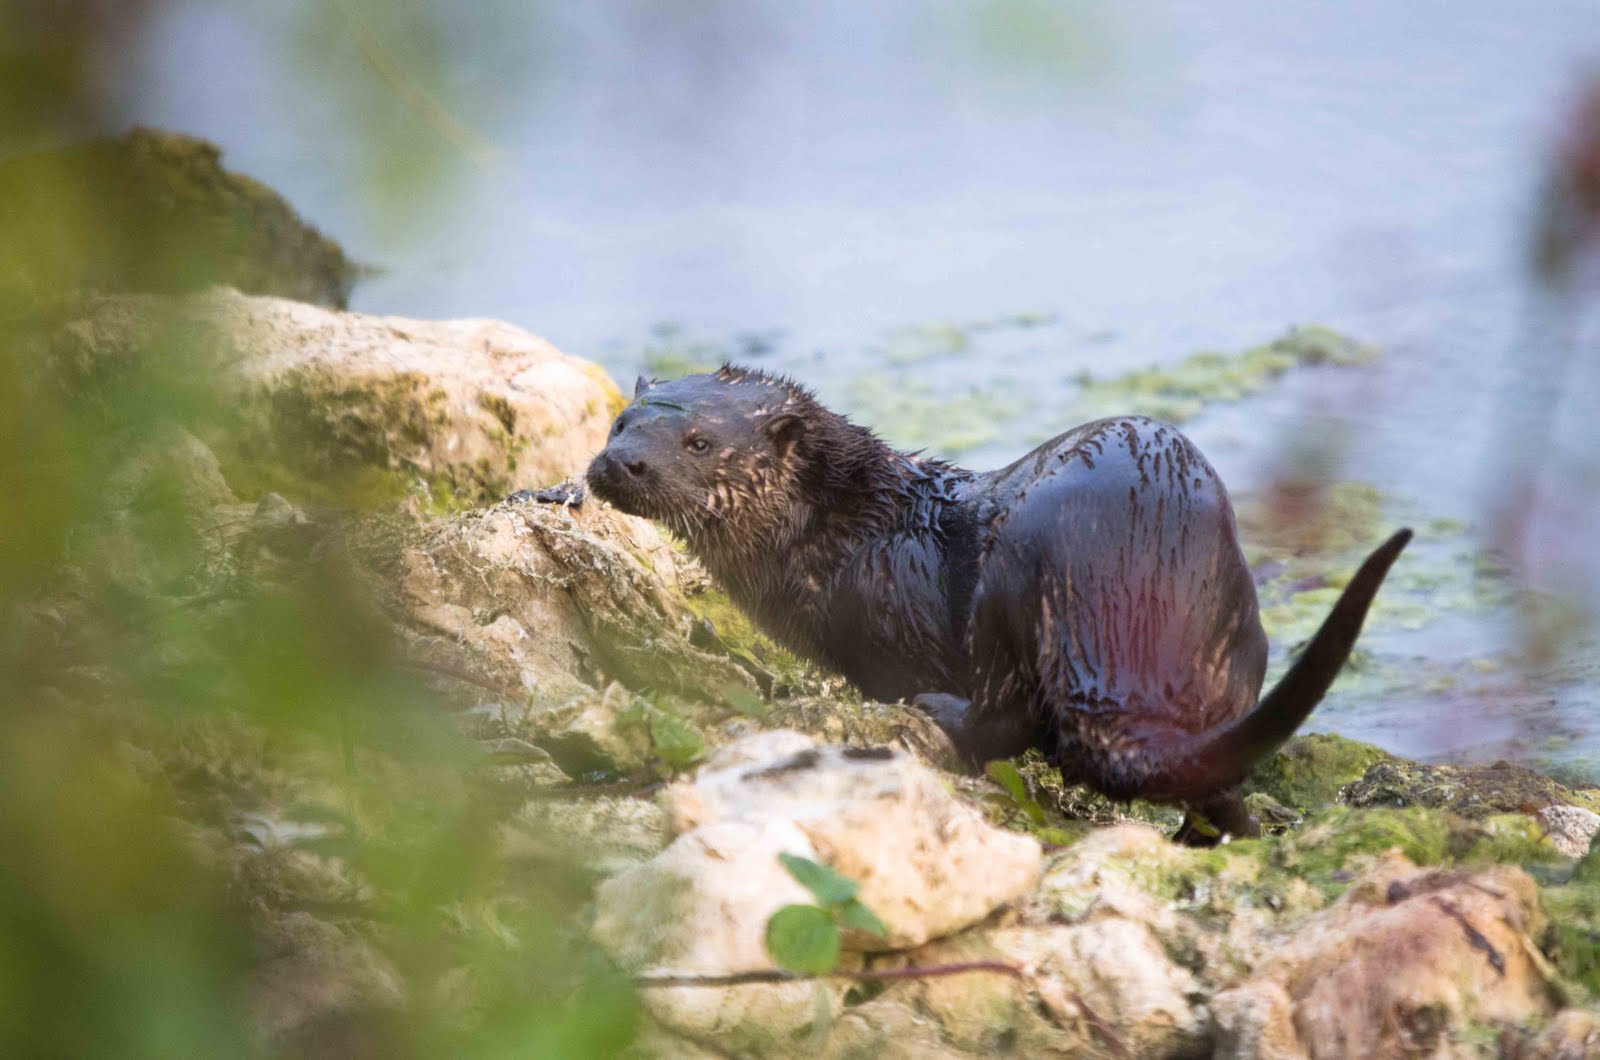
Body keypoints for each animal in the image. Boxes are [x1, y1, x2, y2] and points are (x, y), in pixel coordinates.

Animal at [557, 365, 1410, 843]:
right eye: (620, 423)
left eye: (699, 442)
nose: (621, 463)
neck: (848, 532)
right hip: (1236, 625)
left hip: (1016, 582)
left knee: (1011, 713)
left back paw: (937, 714)